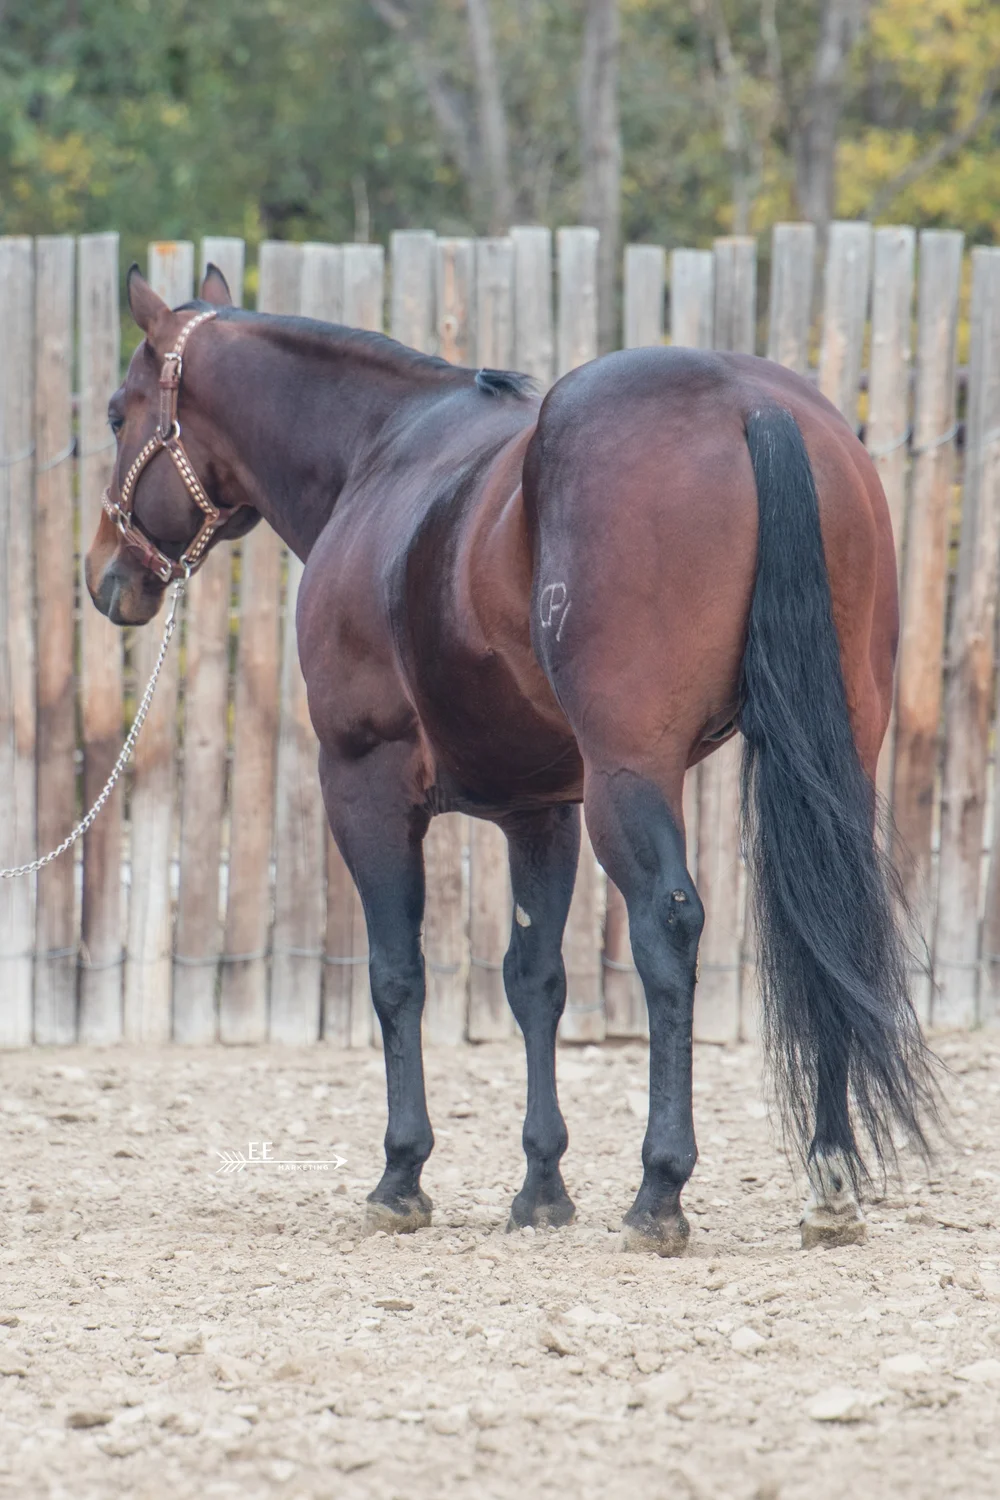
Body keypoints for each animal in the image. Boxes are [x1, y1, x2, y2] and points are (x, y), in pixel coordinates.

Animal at [85, 263, 936, 1255]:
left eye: (119, 412)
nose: (108, 575)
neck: (382, 456)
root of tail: (750, 404)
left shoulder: (364, 783)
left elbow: (397, 975)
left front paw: (402, 1176)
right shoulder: (540, 811)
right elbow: (535, 982)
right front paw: (541, 1184)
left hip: (630, 777)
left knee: (669, 927)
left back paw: (660, 1191)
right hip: (837, 761)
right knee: (828, 919)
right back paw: (829, 1179)